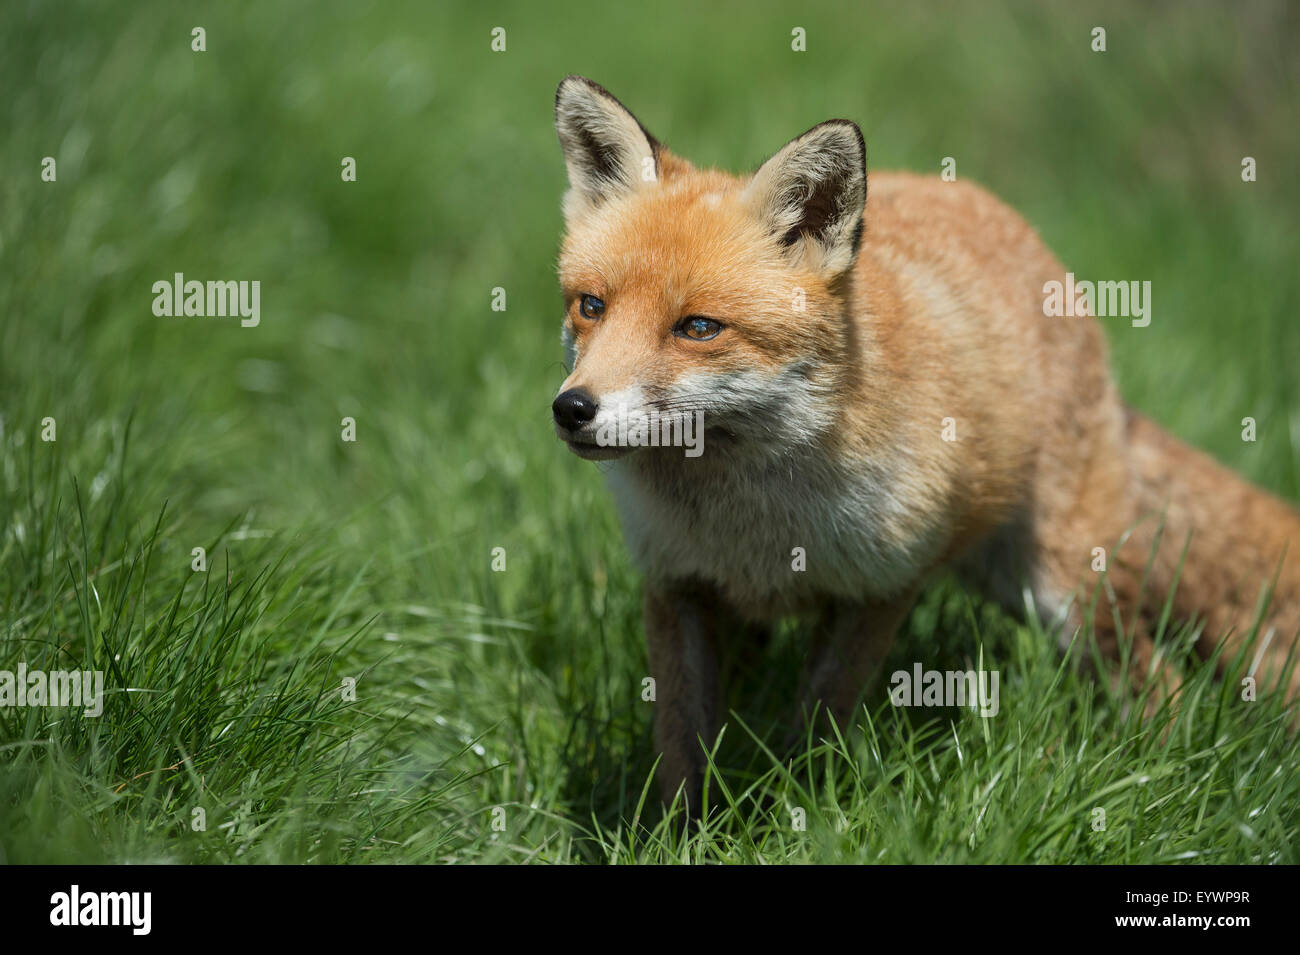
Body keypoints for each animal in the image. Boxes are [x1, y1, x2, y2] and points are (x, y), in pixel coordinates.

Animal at [548, 75, 1300, 807]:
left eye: (698, 328)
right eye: (591, 306)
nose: (571, 409)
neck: (754, 519)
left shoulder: (882, 585)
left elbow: (815, 723)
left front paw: (794, 807)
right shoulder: (678, 585)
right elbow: (681, 745)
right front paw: (684, 830)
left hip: (1068, 589)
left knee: (1160, 683)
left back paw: (1164, 778)